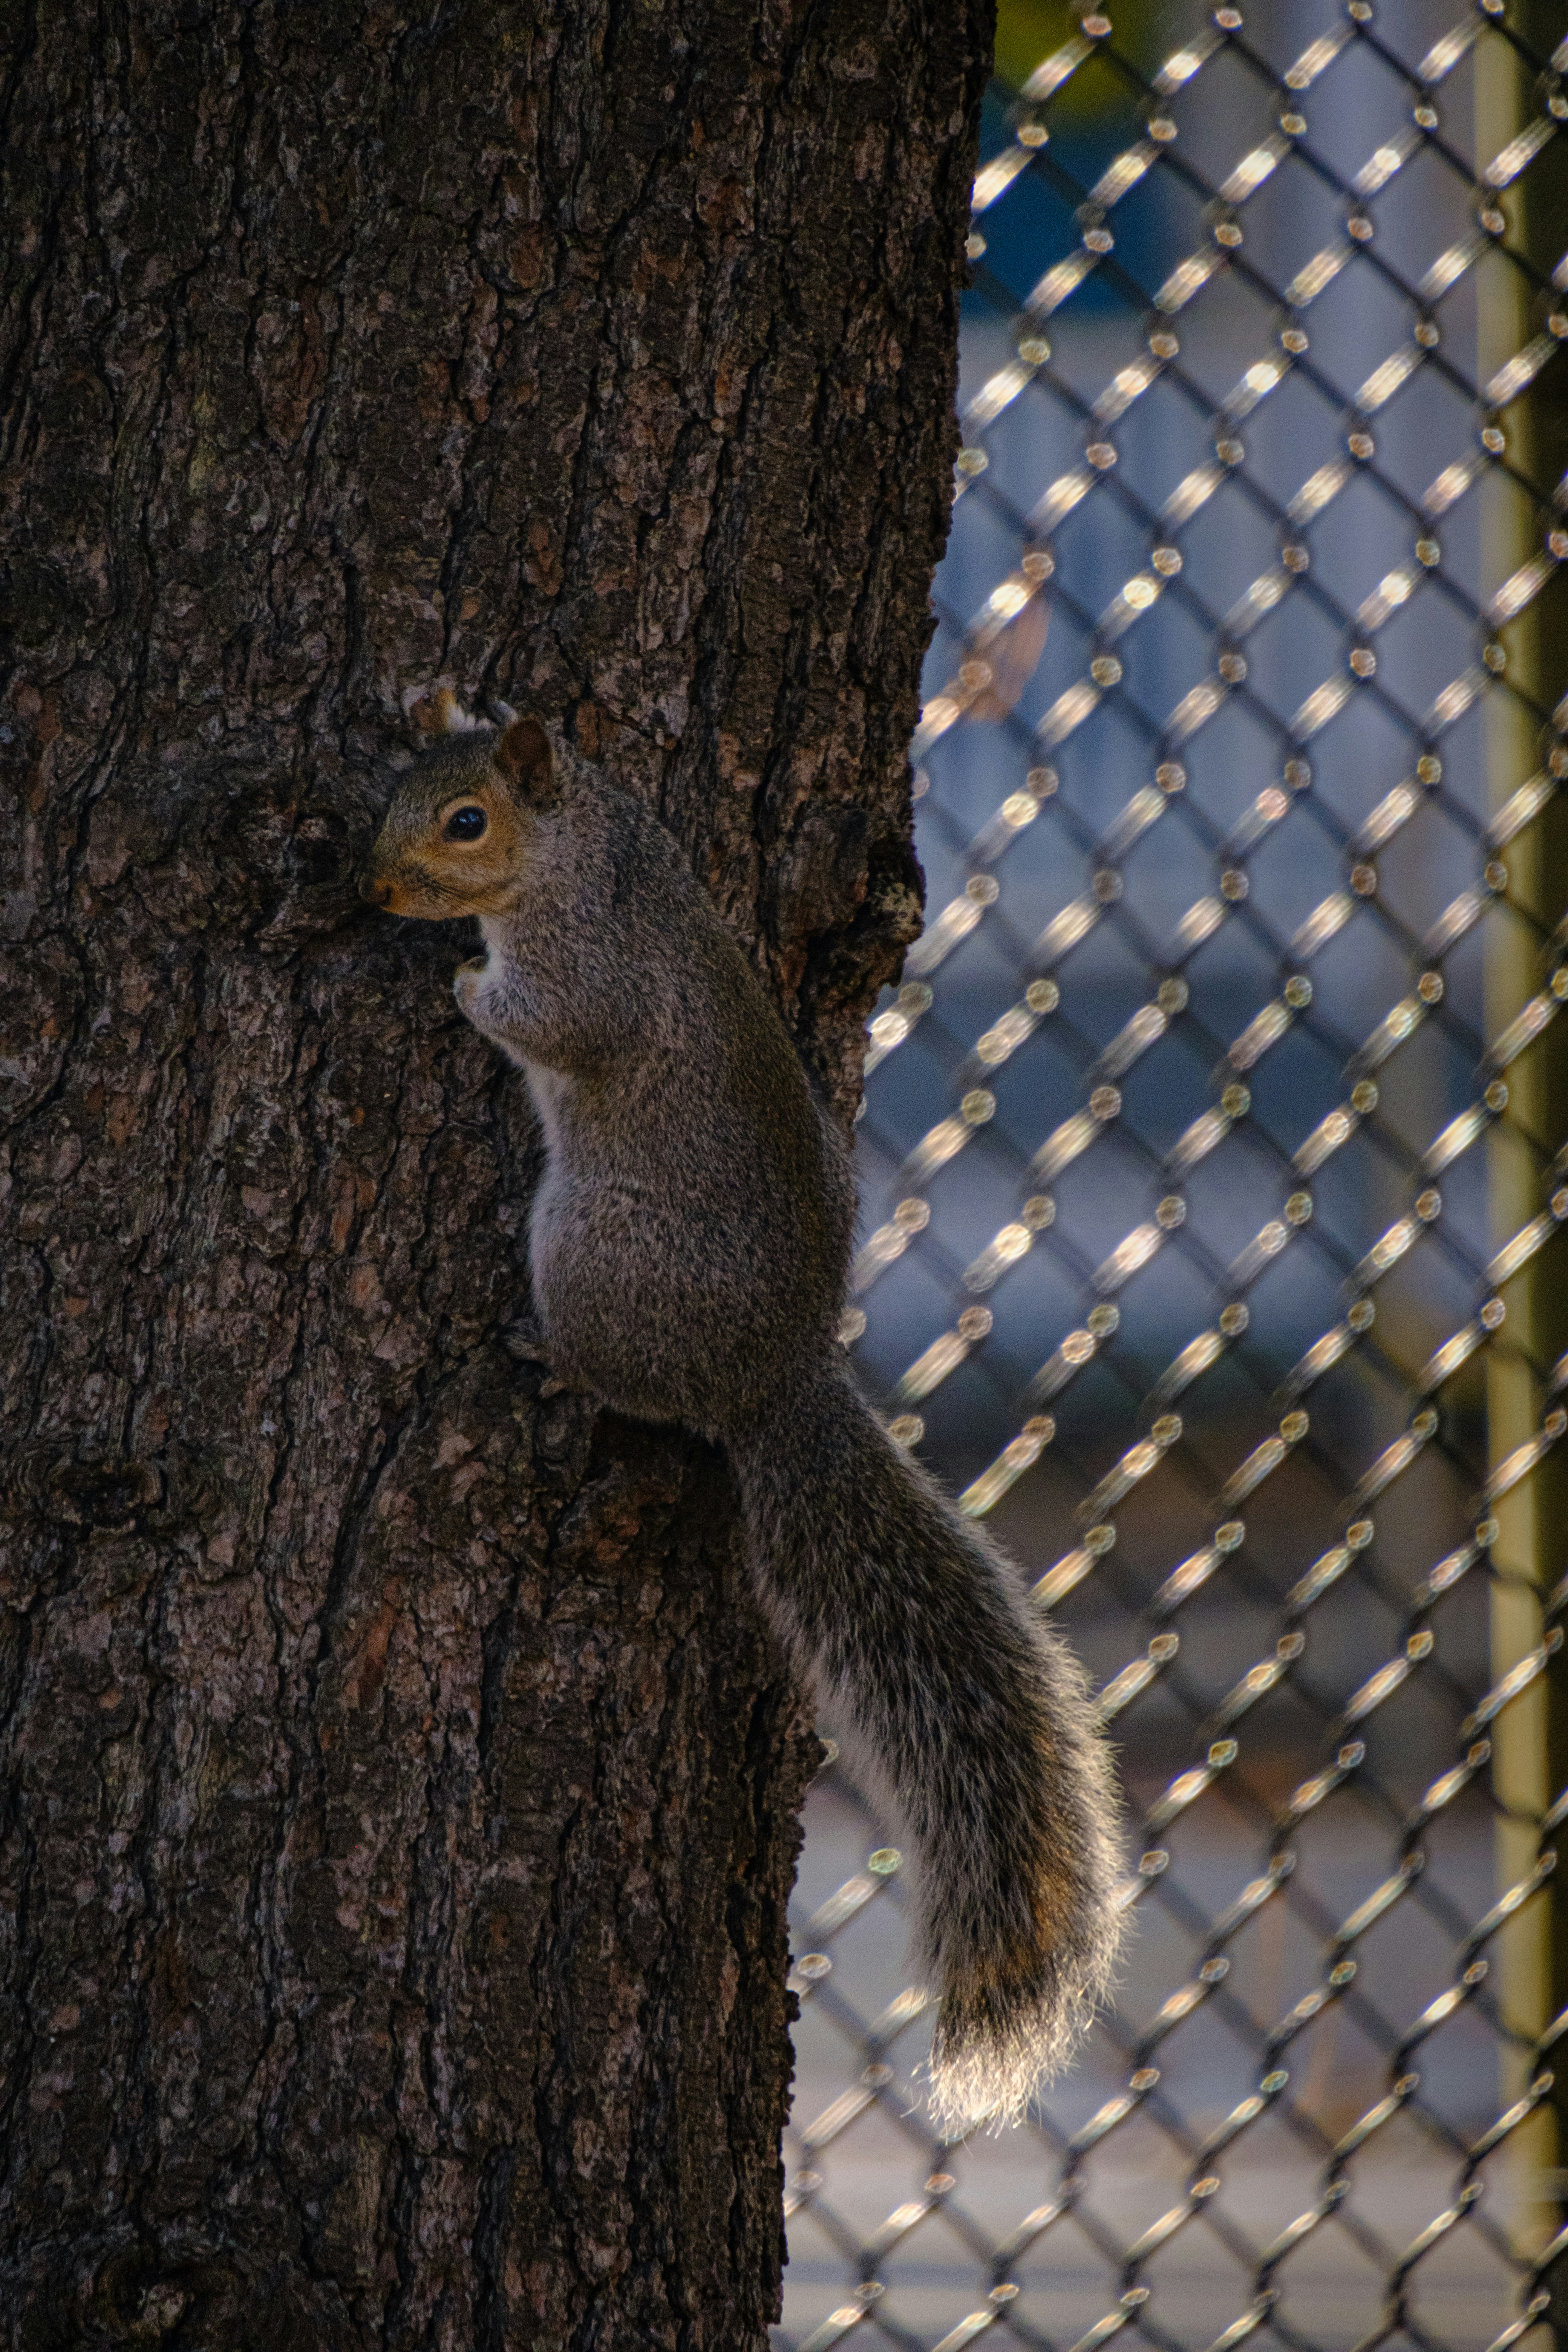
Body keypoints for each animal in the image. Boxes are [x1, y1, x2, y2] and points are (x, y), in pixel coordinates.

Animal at [361, 692, 1123, 2129]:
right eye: (395, 791)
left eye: (466, 820)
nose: (374, 886)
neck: (597, 857)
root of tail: (772, 1375)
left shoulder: (590, 977)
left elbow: (546, 1023)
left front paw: (462, 988)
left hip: (590, 1248)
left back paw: (557, 1361)